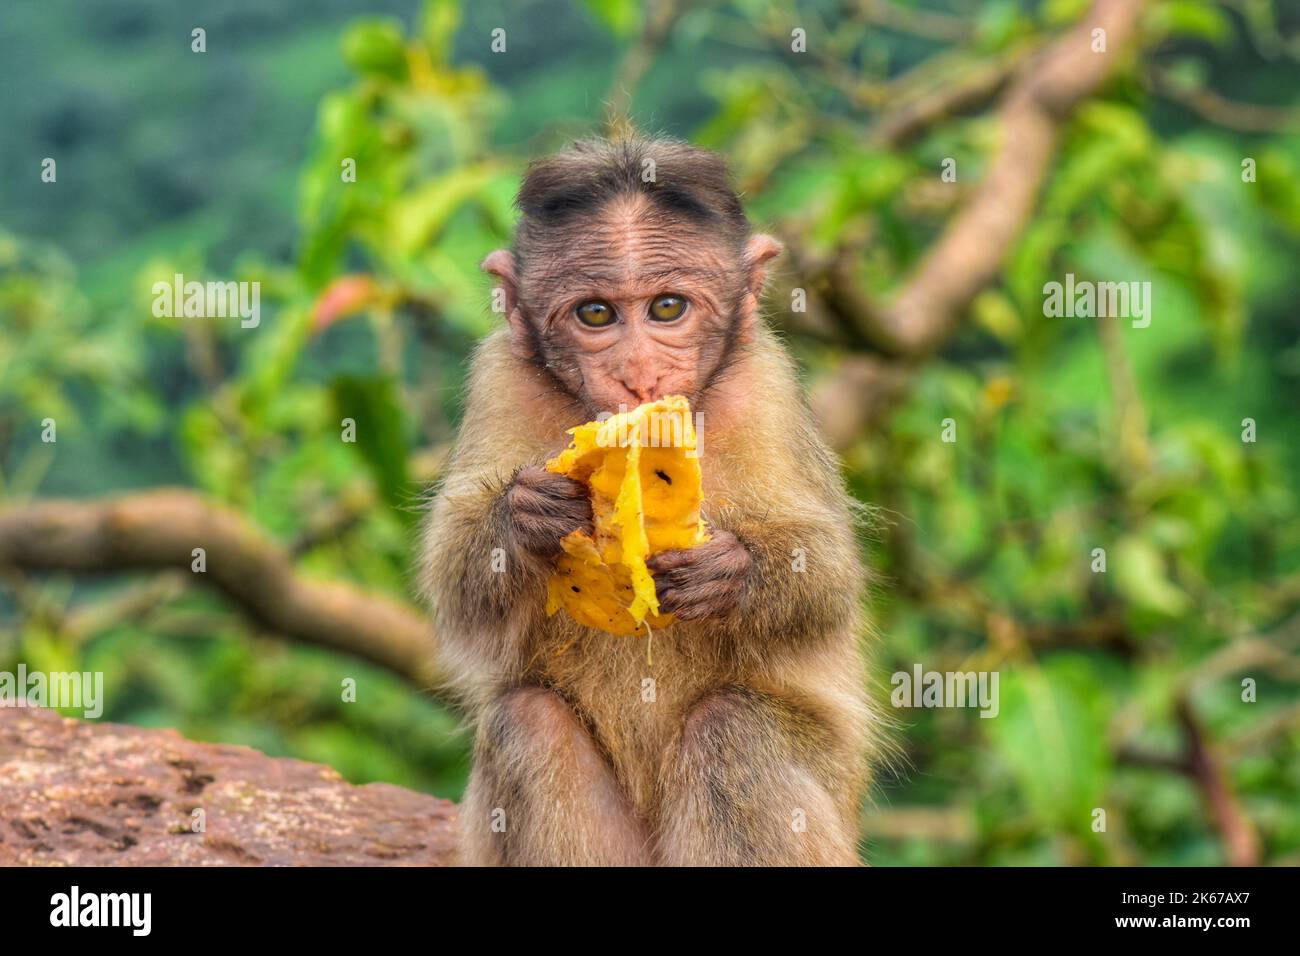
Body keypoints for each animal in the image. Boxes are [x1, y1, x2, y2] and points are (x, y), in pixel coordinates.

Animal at [421, 136, 878, 866]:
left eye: (667, 308)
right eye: (596, 314)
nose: (638, 376)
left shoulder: (767, 385)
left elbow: (828, 575)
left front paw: (728, 571)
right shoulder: (499, 376)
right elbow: (459, 595)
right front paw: (528, 515)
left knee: (735, 733)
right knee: (528, 723)